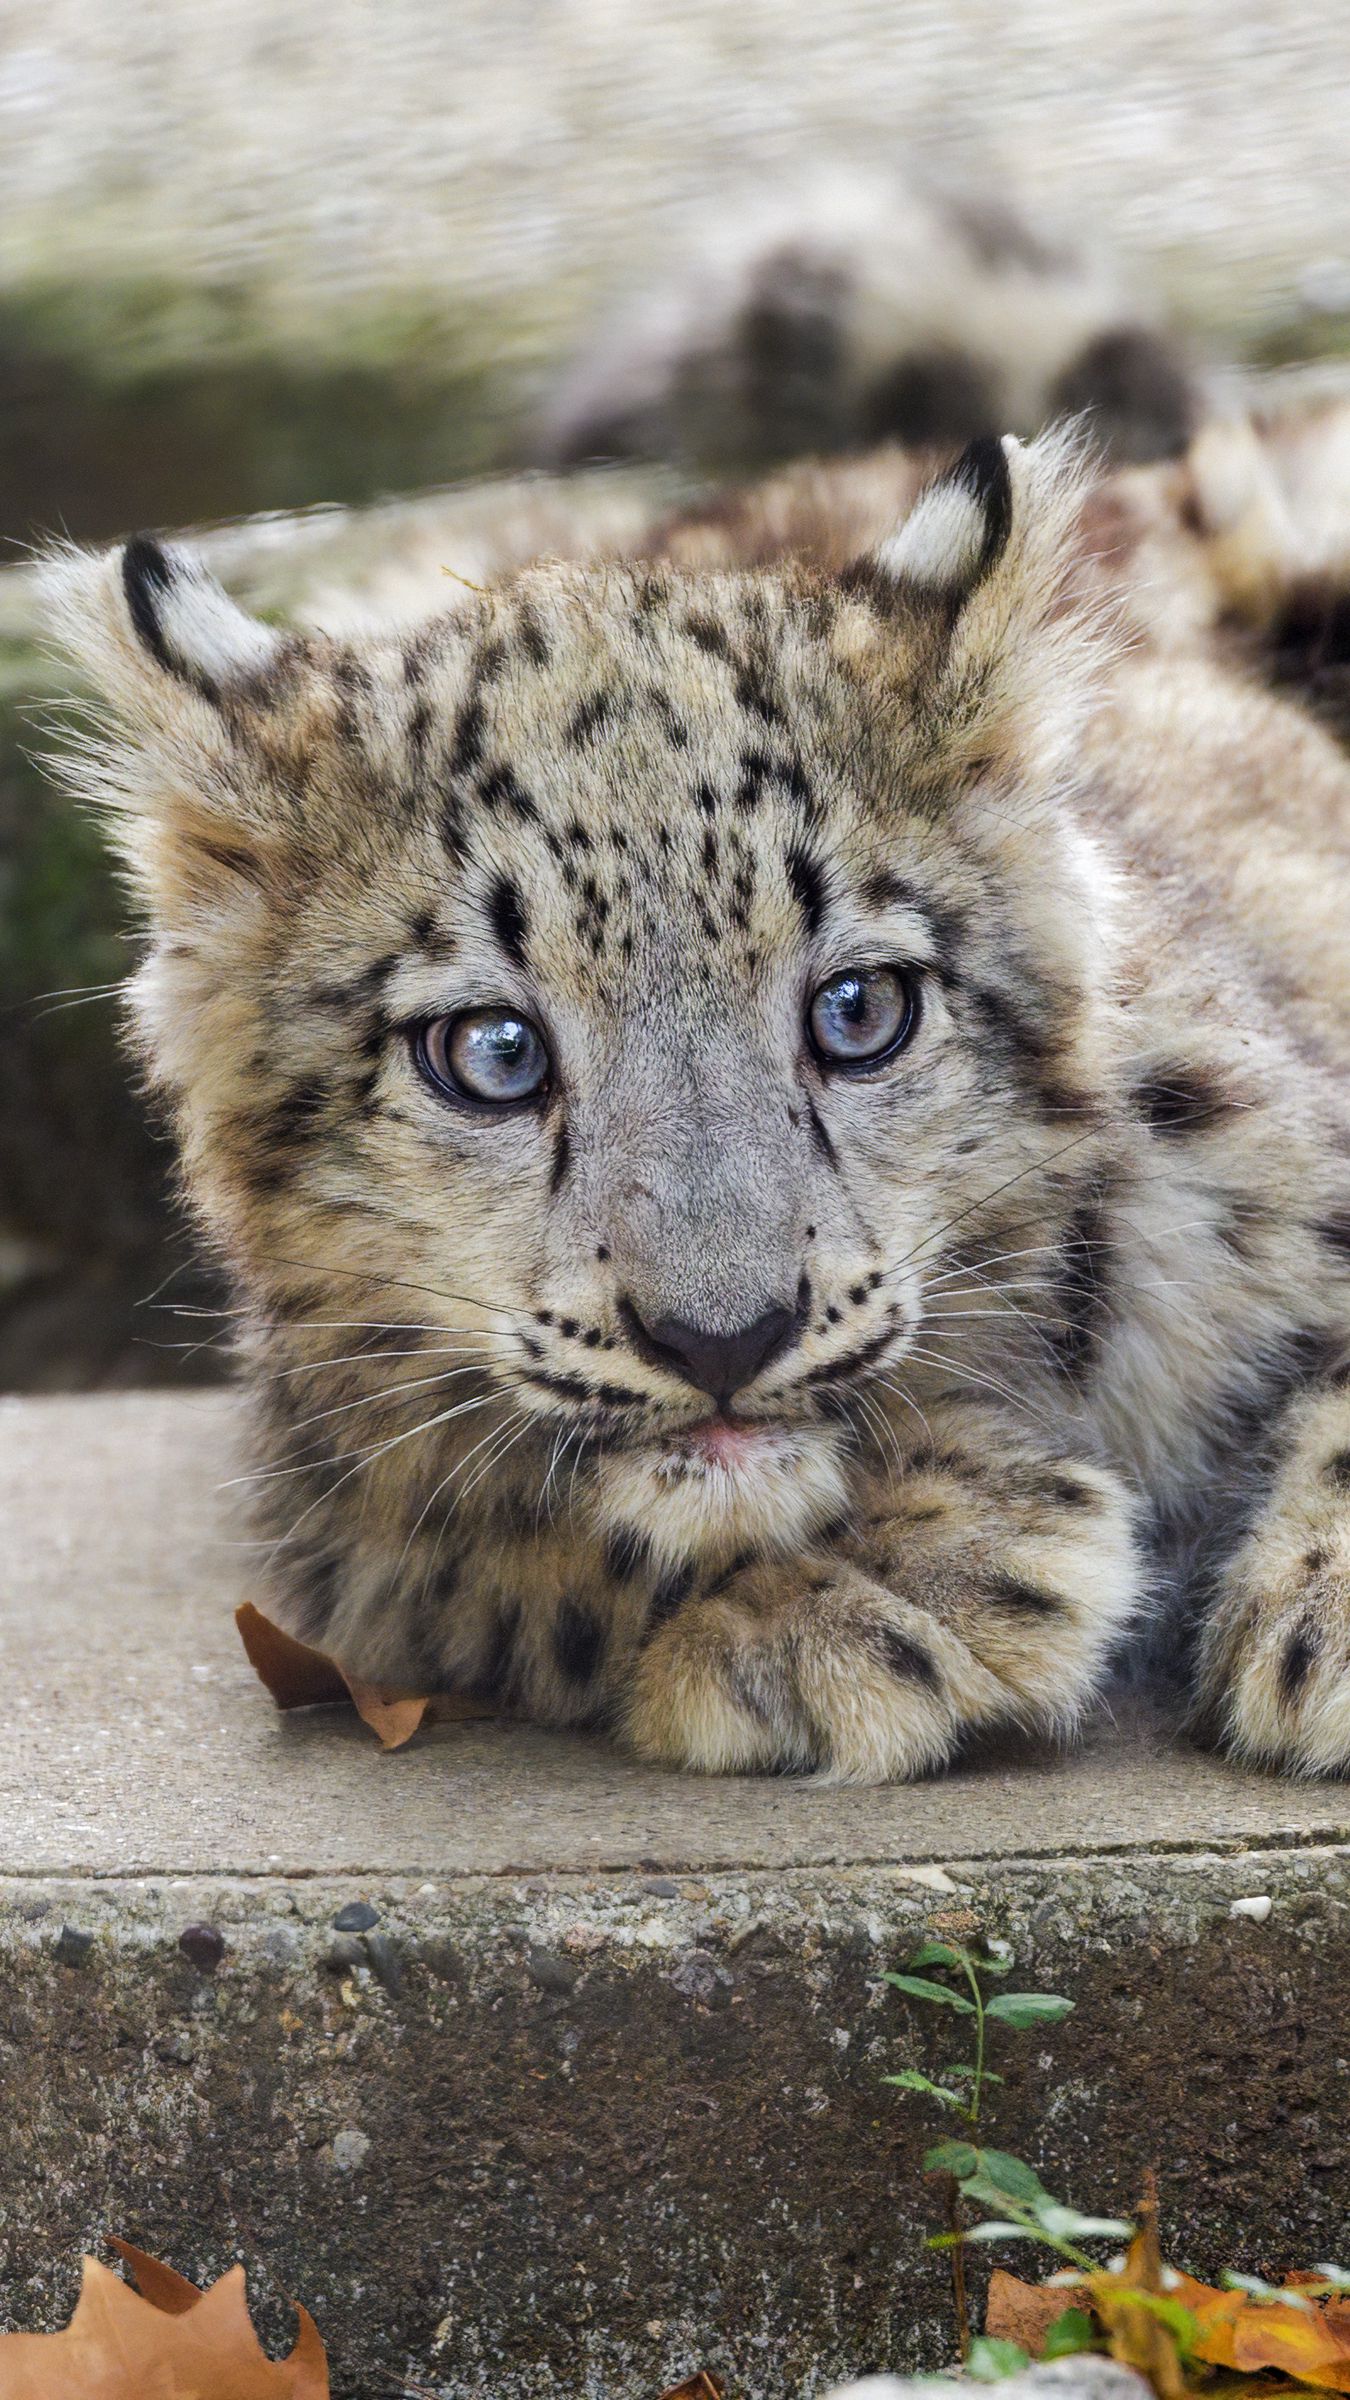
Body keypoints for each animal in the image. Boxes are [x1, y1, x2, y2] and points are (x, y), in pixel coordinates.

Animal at [43, 401, 1350, 1782]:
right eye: (494, 1050)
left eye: (859, 1009)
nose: (722, 1338)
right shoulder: (339, 1494)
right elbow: (510, 1532)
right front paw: (899, 1584)